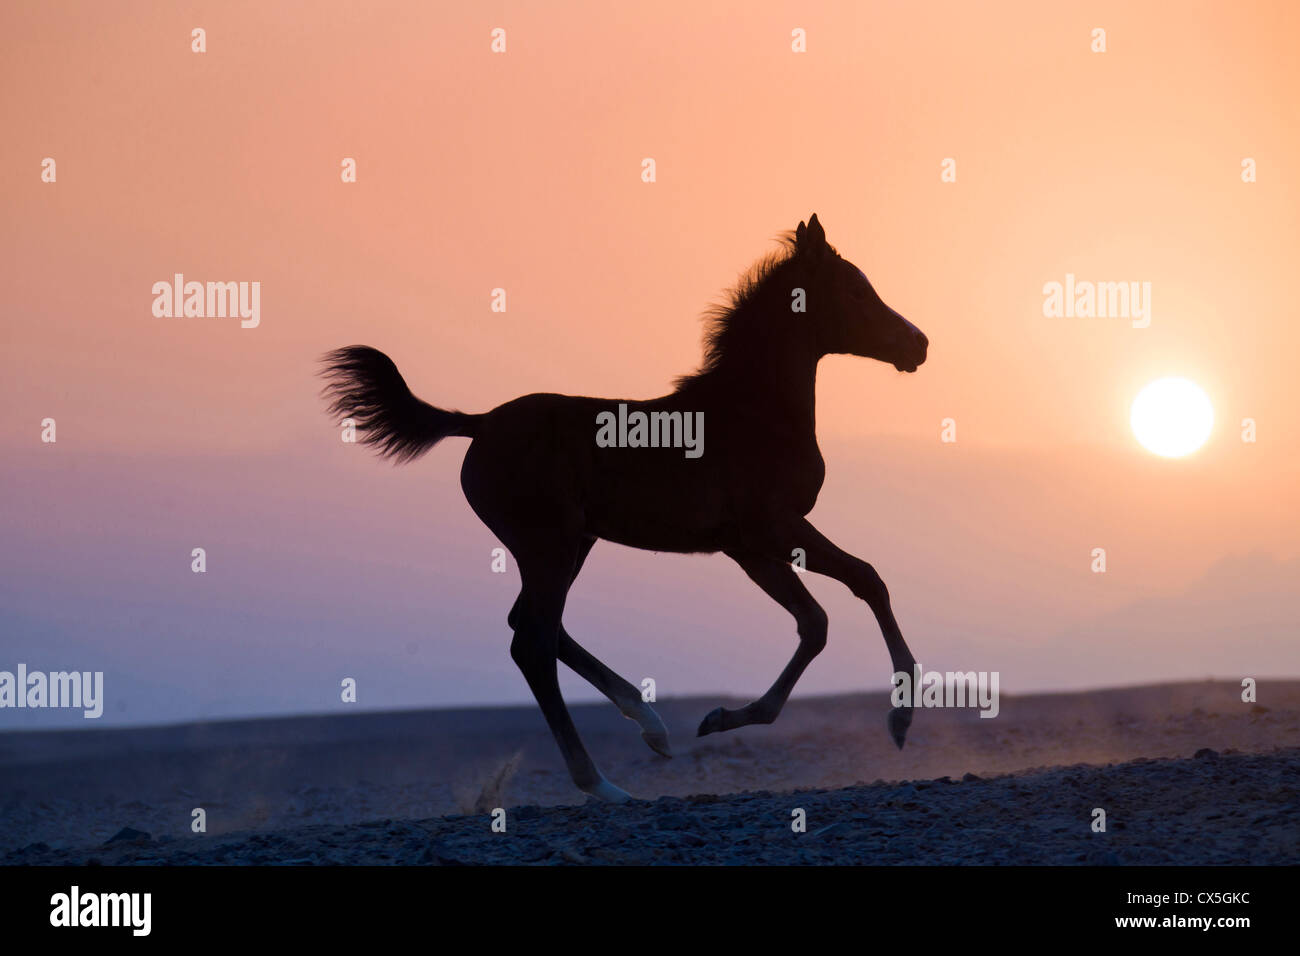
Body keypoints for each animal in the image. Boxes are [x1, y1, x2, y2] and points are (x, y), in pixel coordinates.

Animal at [320, 214, 928, 802]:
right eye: (855, 289)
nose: (918, 344)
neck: (753, 412)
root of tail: (479, 423)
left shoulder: (747, 547)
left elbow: (817, 619)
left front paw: (721, 717)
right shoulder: (772, 528)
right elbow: (863, 583)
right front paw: (898, 721)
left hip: (571, 544)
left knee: (535, 626)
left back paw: (650, 724)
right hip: (550, 544)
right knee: (532, 642)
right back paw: (605, 785)